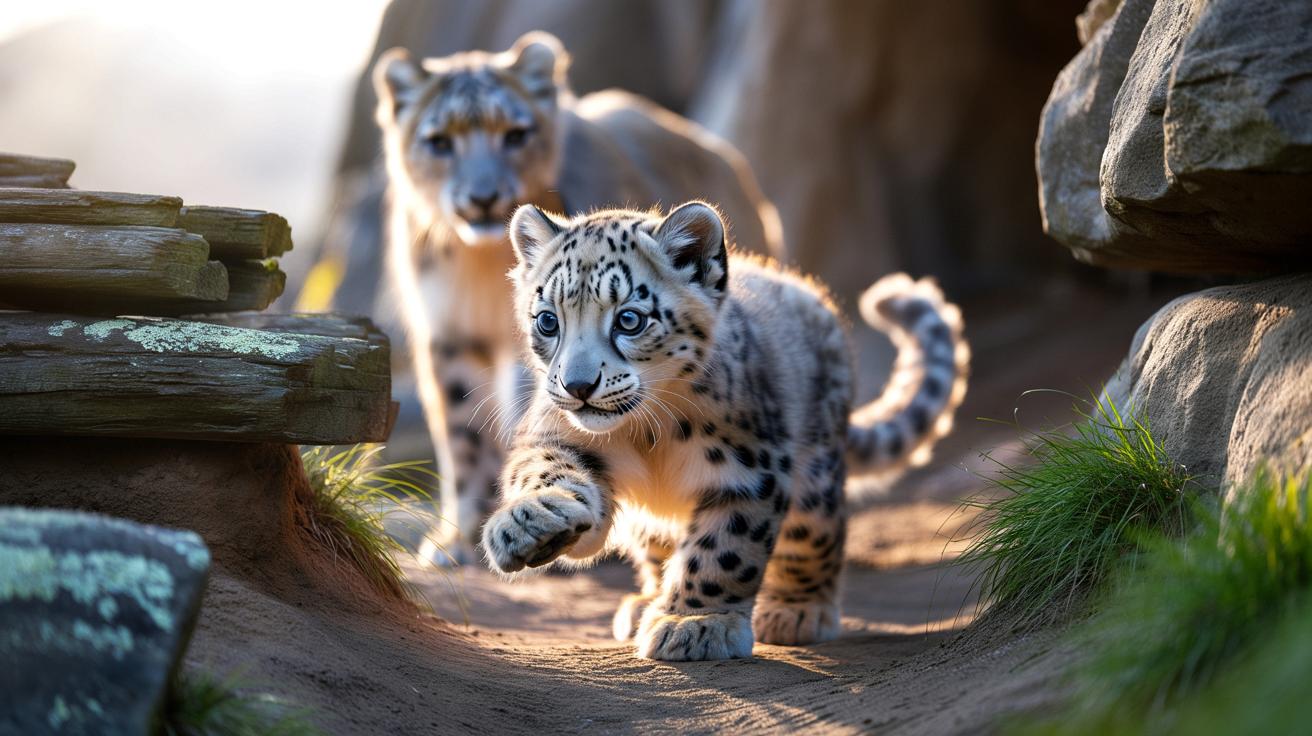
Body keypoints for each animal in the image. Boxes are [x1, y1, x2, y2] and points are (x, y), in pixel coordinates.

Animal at [373, 32, 782, 562]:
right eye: (439, 141)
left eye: (516, 134)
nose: (482, 198)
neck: (482, 267)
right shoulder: (450, 328)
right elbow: (463, 431)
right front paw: (460, 539)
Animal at [482, 201, 969, 660]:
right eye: (548, 320)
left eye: (629, 319)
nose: (578, 386)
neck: (647, 435)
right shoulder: (559, 435)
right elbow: (544, 469)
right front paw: (532, 521)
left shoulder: (748, 472)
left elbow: (724, 550)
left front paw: (695, 623)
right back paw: (645, 602)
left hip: (816, 477)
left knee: (817, 536)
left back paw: (798, 611)